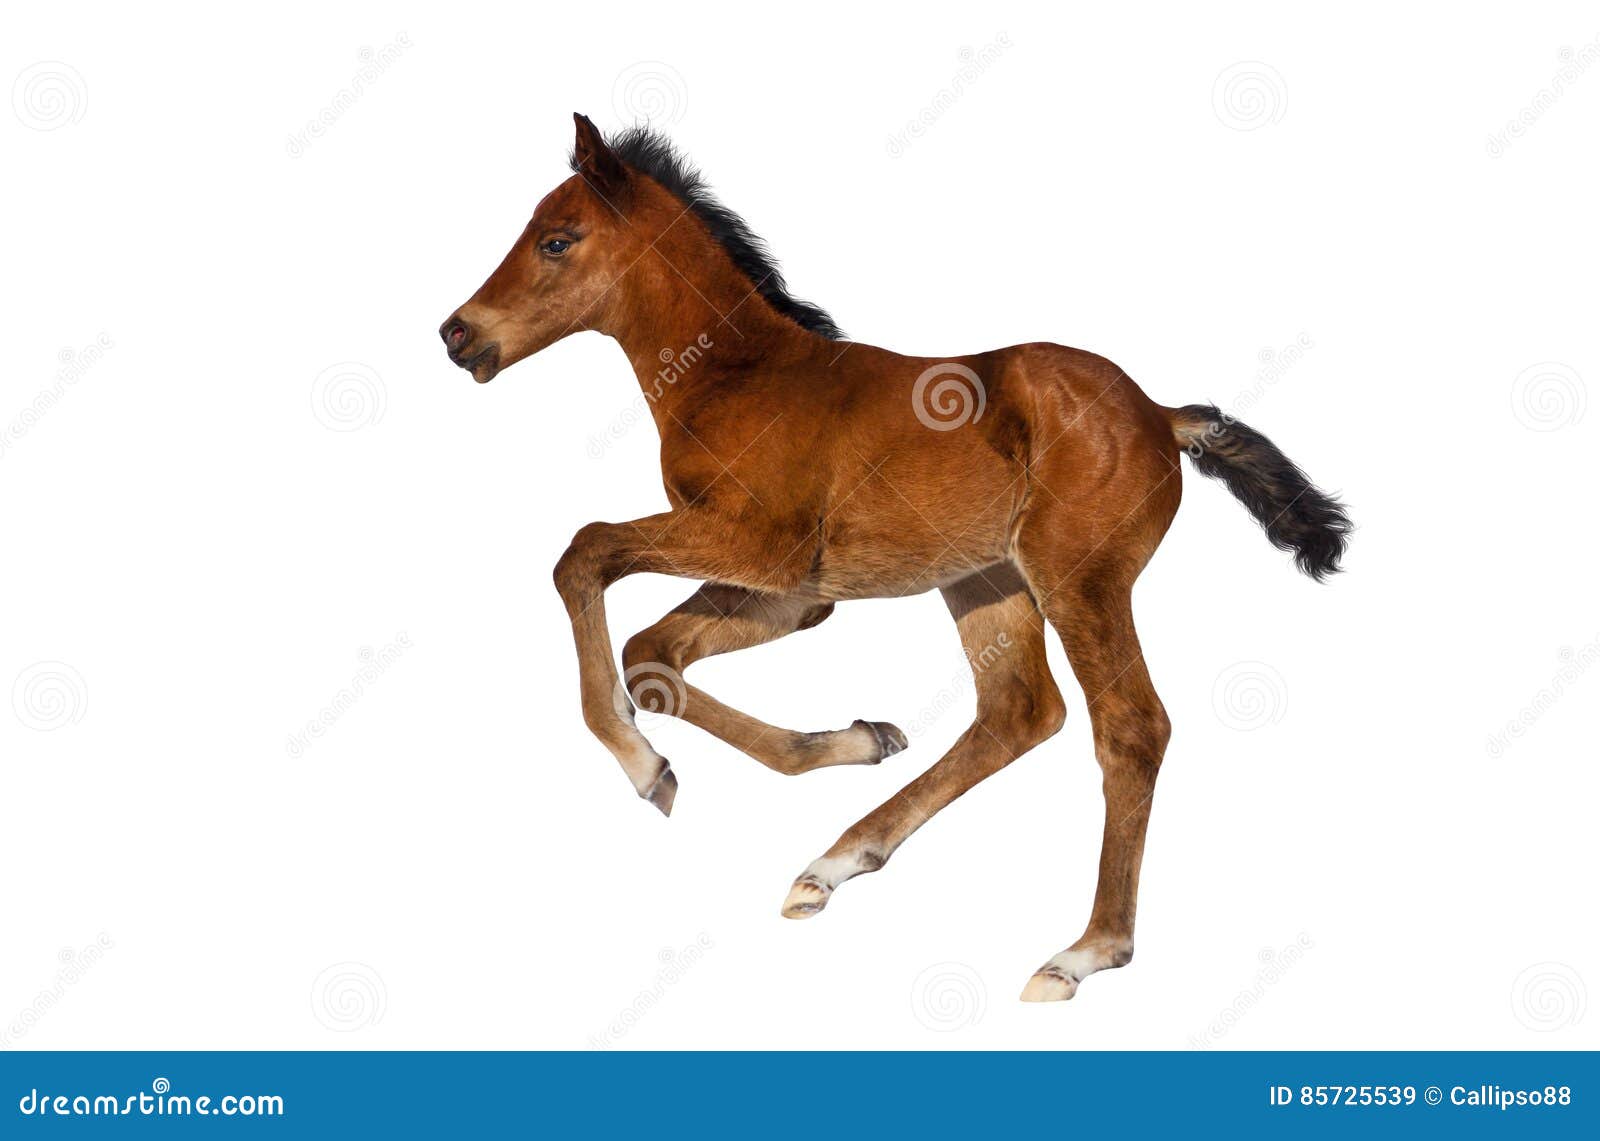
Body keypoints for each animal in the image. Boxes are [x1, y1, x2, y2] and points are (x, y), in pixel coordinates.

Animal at [439, 114, 1351, 1002]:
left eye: (557, 240)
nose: (457, 334)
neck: (736, 374)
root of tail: (1161, 415)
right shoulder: (796, 592)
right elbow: (651, 655)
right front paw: (852, 740)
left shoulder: (760, 546)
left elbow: (583, 552)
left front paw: (639, 763)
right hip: (986, 582)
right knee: (1020, 711)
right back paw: (834, 863)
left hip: (1078, 579)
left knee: (1130, 725)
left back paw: (1083, 951)